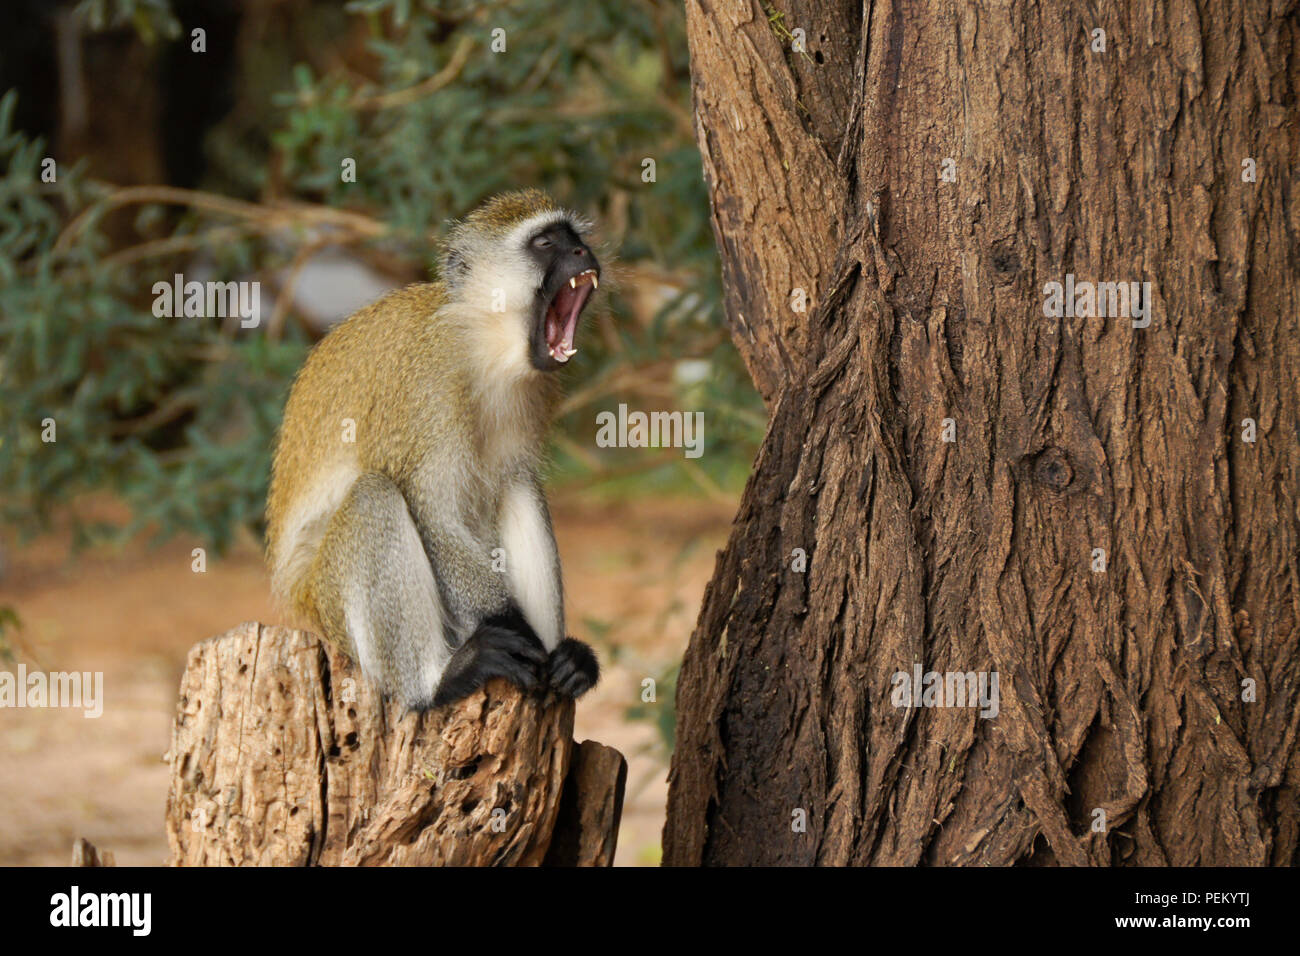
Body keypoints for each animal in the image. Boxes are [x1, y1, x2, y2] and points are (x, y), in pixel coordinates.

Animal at [265, 190, 601, 710]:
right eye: (545, 243)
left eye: (574, 237)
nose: (584, 252)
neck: (485, 347)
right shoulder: (428, 387)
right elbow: (431, 510)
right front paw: (515, 629)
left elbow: (504, 485)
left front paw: (558, 653)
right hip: (327, 605)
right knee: (373, 498)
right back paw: (437, 681)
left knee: (517, 485)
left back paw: (560, 664)